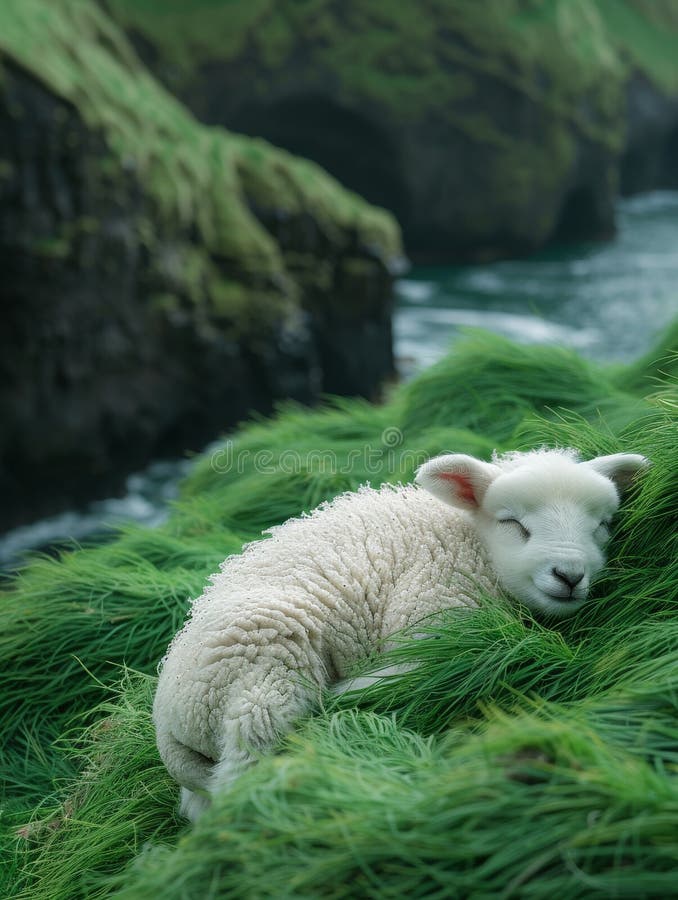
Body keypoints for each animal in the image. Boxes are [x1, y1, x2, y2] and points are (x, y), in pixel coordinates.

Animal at [153, 448, 648, 820]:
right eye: (513, 523)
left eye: (601, 525)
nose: (569, 575)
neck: (473, 543)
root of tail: (169, 717)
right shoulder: (432, 614)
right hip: (263, 671)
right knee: (244, 767)